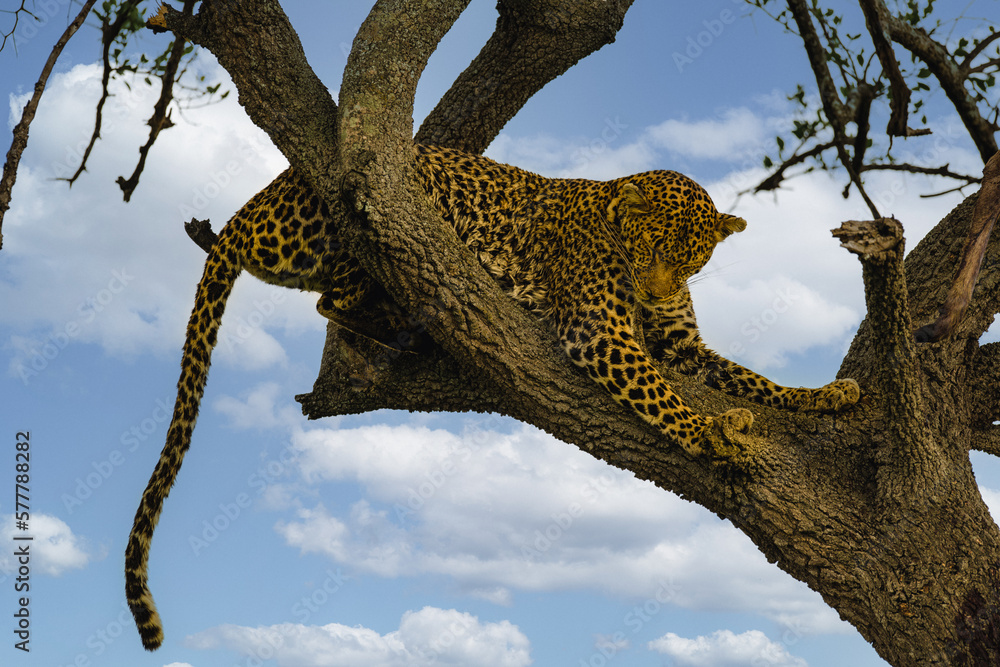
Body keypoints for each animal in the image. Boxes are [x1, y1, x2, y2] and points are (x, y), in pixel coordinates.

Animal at [125, 143, 859, 651]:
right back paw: (413, 322)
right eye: (649, 248)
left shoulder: (681, 346)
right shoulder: (599, 333)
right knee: (332, 296)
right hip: (373, 216)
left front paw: (825, 394)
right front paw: (712, 437)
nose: (656, 291)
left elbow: (752, 377)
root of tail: (253, 203)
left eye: (692, 258)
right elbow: (664, 396)